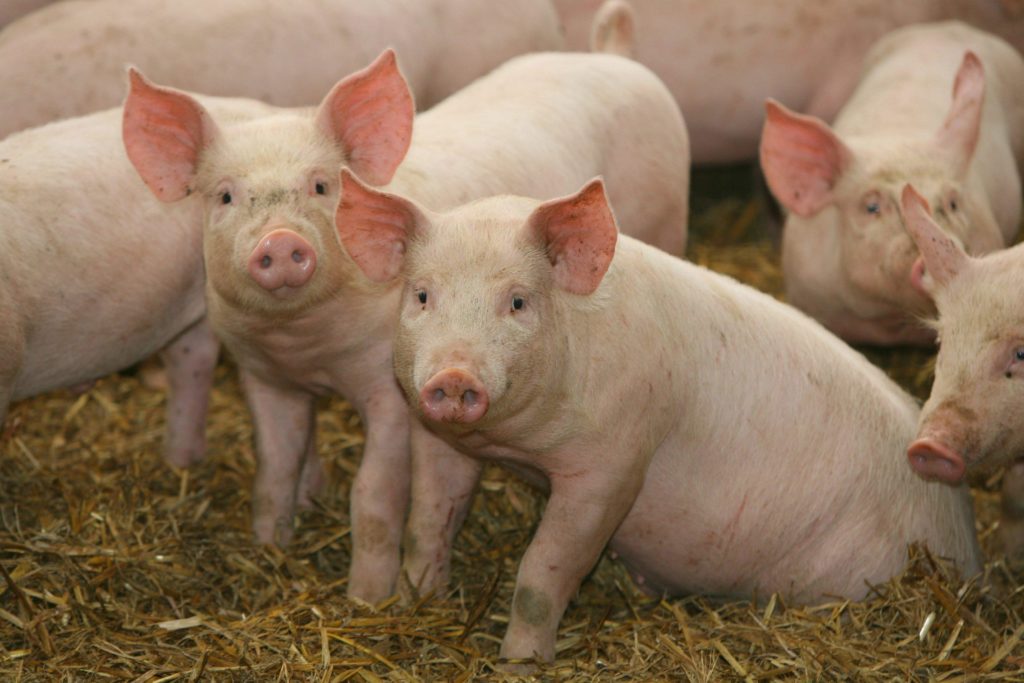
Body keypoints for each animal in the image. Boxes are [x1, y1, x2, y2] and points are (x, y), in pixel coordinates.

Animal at [121, 49, 690, 603]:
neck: (306, 346)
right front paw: (269, 549)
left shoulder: (391, 390)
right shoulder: (264, 377)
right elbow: (274, 470)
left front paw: (367, 600)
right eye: (224, 196)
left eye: (321, 185)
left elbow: (373, 493)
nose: (280, 241)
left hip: (668, 219)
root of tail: (613, 57)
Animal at [336, 170, 981, 666]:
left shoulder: (614, 464)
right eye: (422, 295)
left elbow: (544, 572)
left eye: (518, 301)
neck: (517, 448)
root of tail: (969, 545)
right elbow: (428, 523)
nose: (453, 376)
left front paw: (519, 663)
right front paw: (414, 602)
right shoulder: (441, 439)